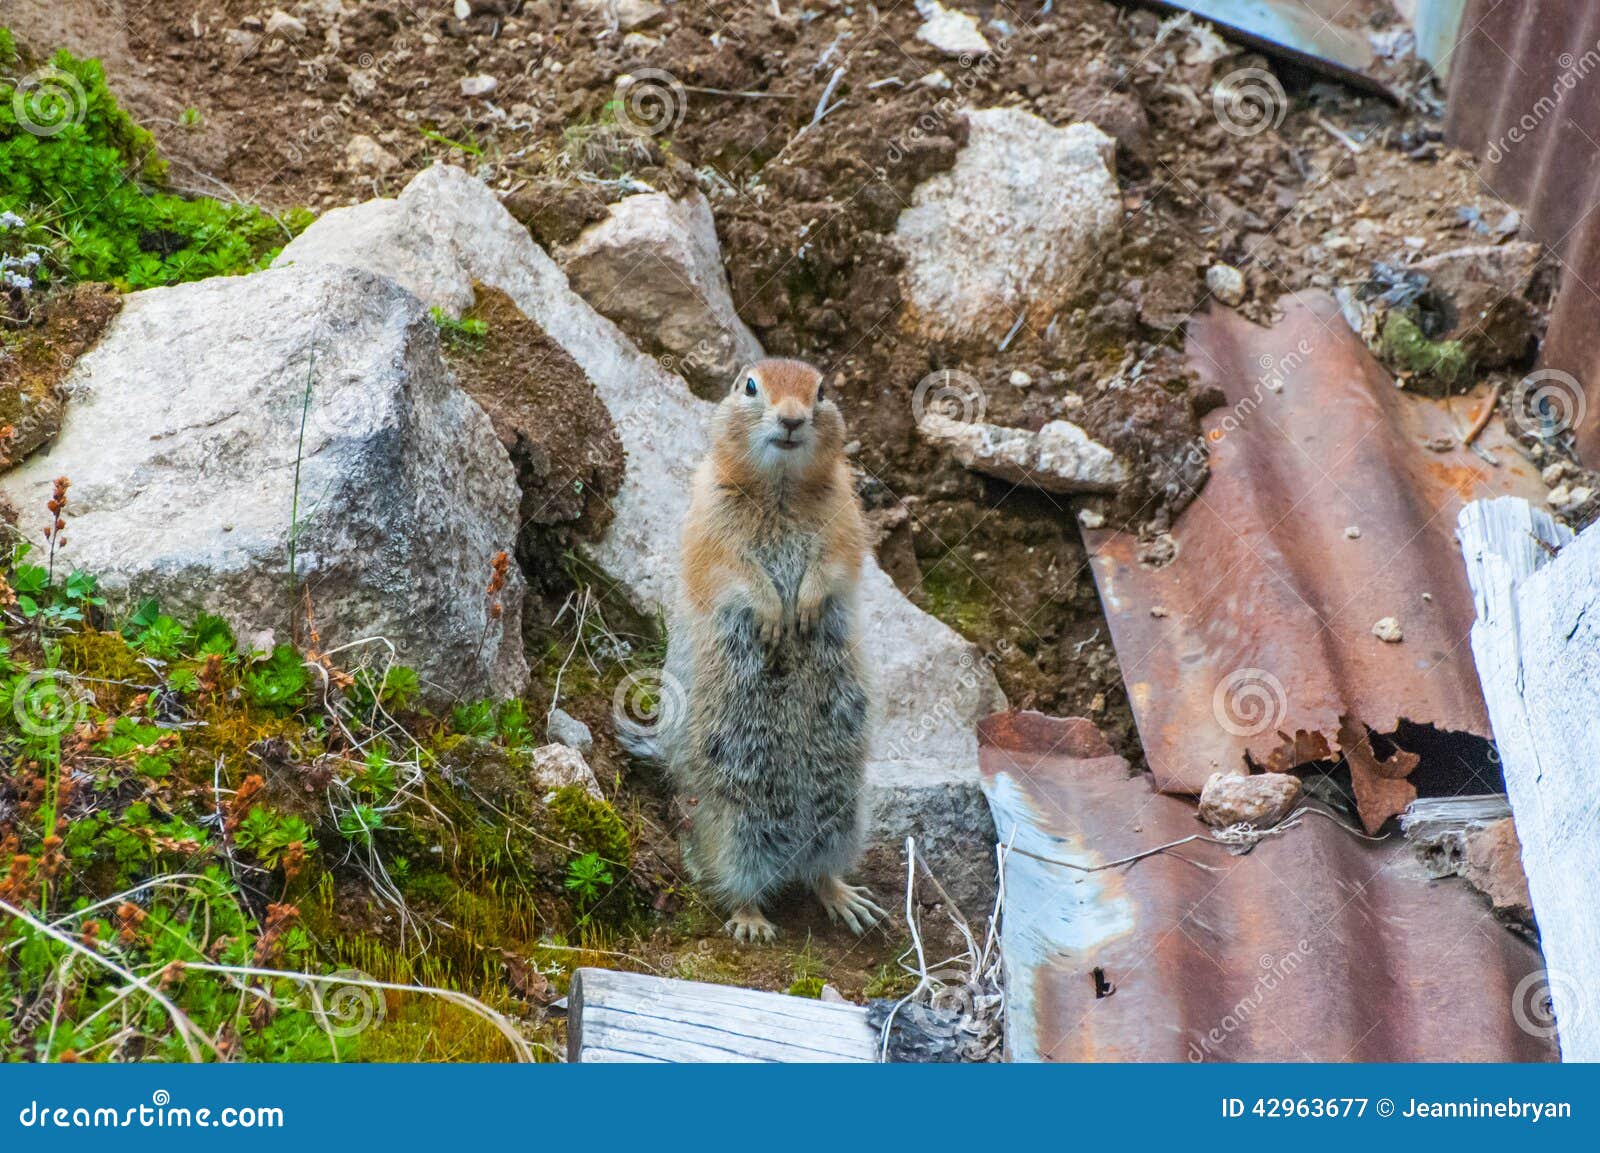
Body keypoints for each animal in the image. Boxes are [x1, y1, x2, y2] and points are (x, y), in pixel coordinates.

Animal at [652, 358, 886, 943]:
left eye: (822, 390)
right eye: (750, 385)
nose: (792, 419)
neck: (781, 489)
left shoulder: (844, 518)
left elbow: (835, 563)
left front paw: (803, 608)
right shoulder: (710, 516)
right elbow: (732, 568)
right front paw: (775, 616)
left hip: (843, 811)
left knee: (820, 869)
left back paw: (849, 900)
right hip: (736, 820)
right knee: (732, 874)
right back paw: (751, 920)